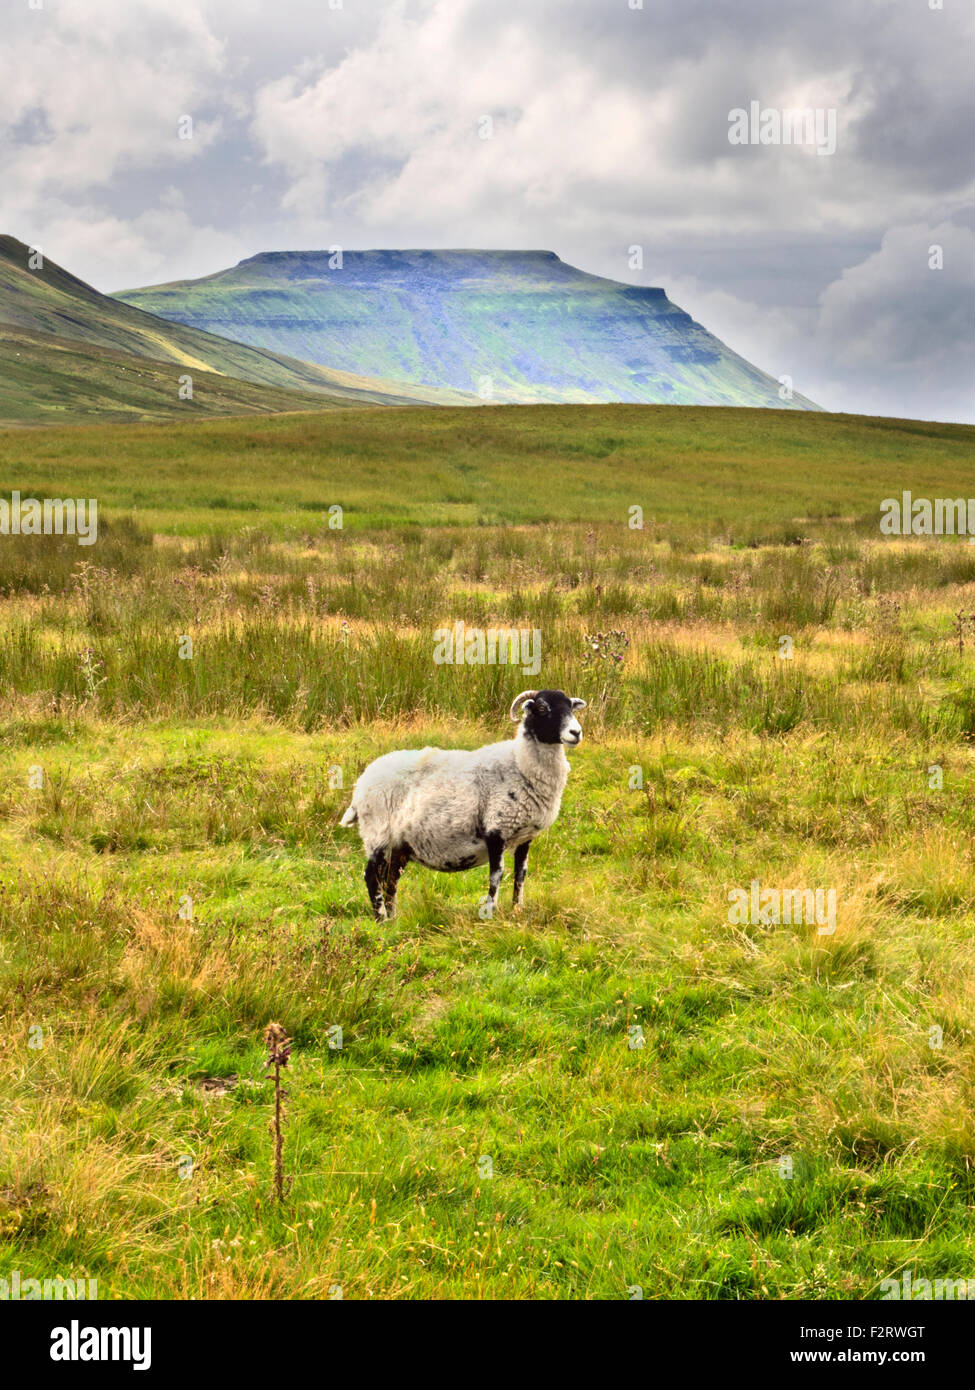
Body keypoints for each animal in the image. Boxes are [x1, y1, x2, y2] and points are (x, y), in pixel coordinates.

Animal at [339, 689, 586, 920]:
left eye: (570, 707)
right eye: (543, 708)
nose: (576, 733)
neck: (518, 763)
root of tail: (360, 784)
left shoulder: (525, 837)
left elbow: (520, 875)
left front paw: (517, 910)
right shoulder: (496, 831)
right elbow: (496, 875)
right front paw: (490, 914)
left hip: (400, 843)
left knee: (391, 878)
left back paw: (393, 917)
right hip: (377, 833)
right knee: (372, 877)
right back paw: (381, 919)